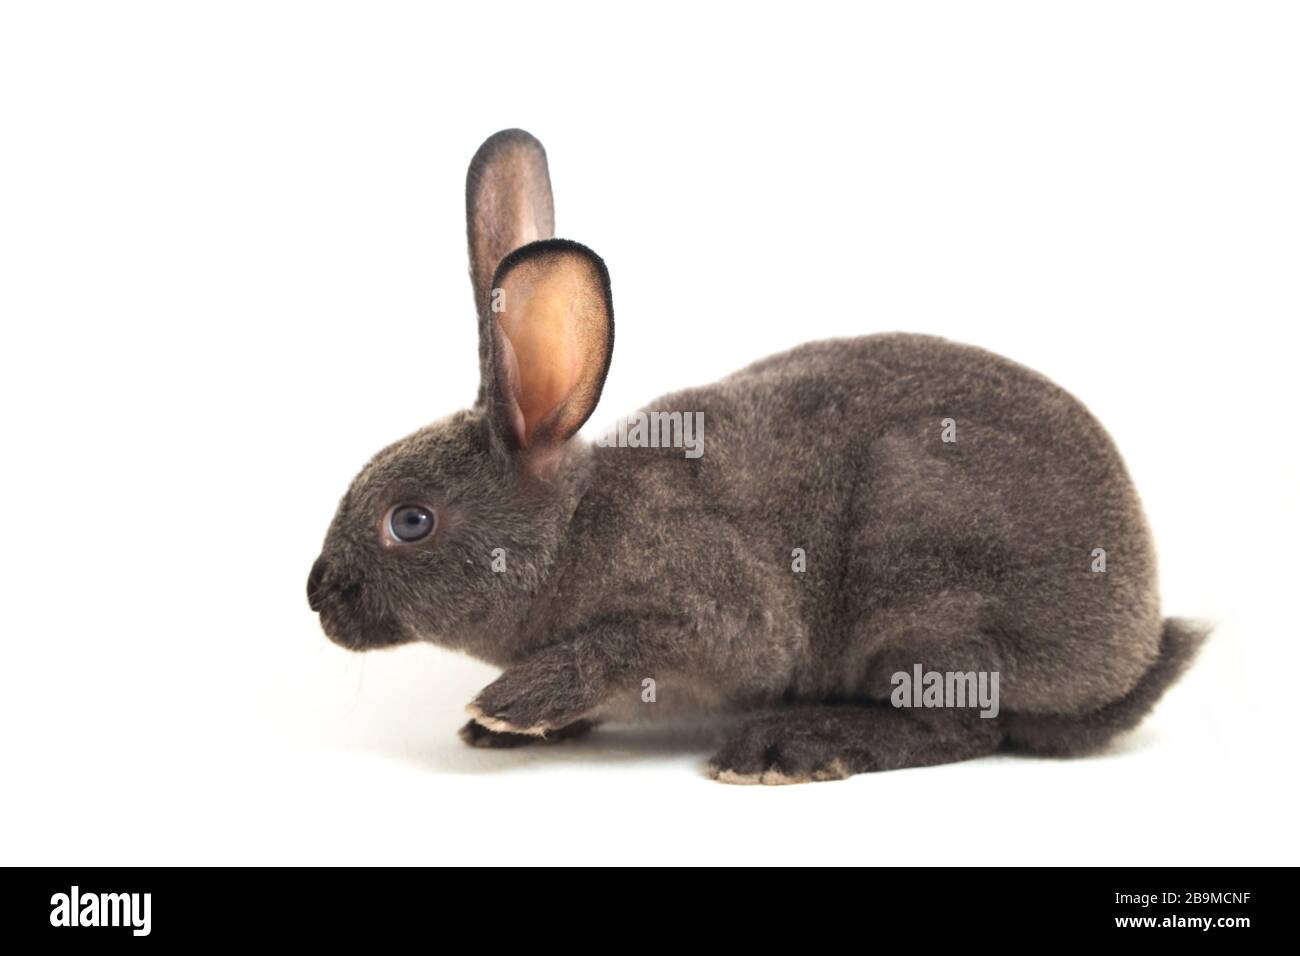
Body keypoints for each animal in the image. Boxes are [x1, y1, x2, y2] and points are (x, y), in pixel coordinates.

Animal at [307, 128, 1206, 784]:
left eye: (410, 521)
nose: (317, 595)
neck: (570, 533)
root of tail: (1134, 648)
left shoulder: (717, 617)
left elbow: (622, 645)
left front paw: (508, 706)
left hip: (925, 581)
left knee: (960, 723)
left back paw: (793, 747)